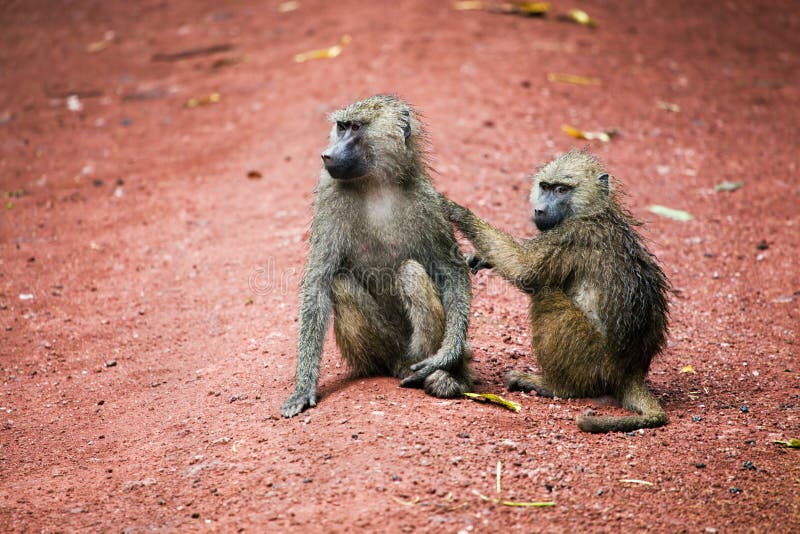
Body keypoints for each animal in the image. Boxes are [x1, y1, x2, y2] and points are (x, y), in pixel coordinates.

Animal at [280, 95, 473, 418]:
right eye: (341, 127)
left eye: (356, 128)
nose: (327, 155)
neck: (376, 184)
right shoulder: (329, 195)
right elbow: (319, 282)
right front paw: (303, 387)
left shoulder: (429, 201)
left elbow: (452, 272)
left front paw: (445, 357)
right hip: (382, 349)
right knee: (341, 282)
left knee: (410, 272)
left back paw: (440, 376)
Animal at [441, 149, 670, 433]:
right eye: (546, 187)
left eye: (562, 190)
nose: (539, 210)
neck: (593, 211)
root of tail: (631, 369)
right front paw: (482, 257)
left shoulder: (571, 236)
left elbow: (524, 271)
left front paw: (453, 209)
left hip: (595, 361)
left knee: (546, 296)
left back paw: (554, 386)